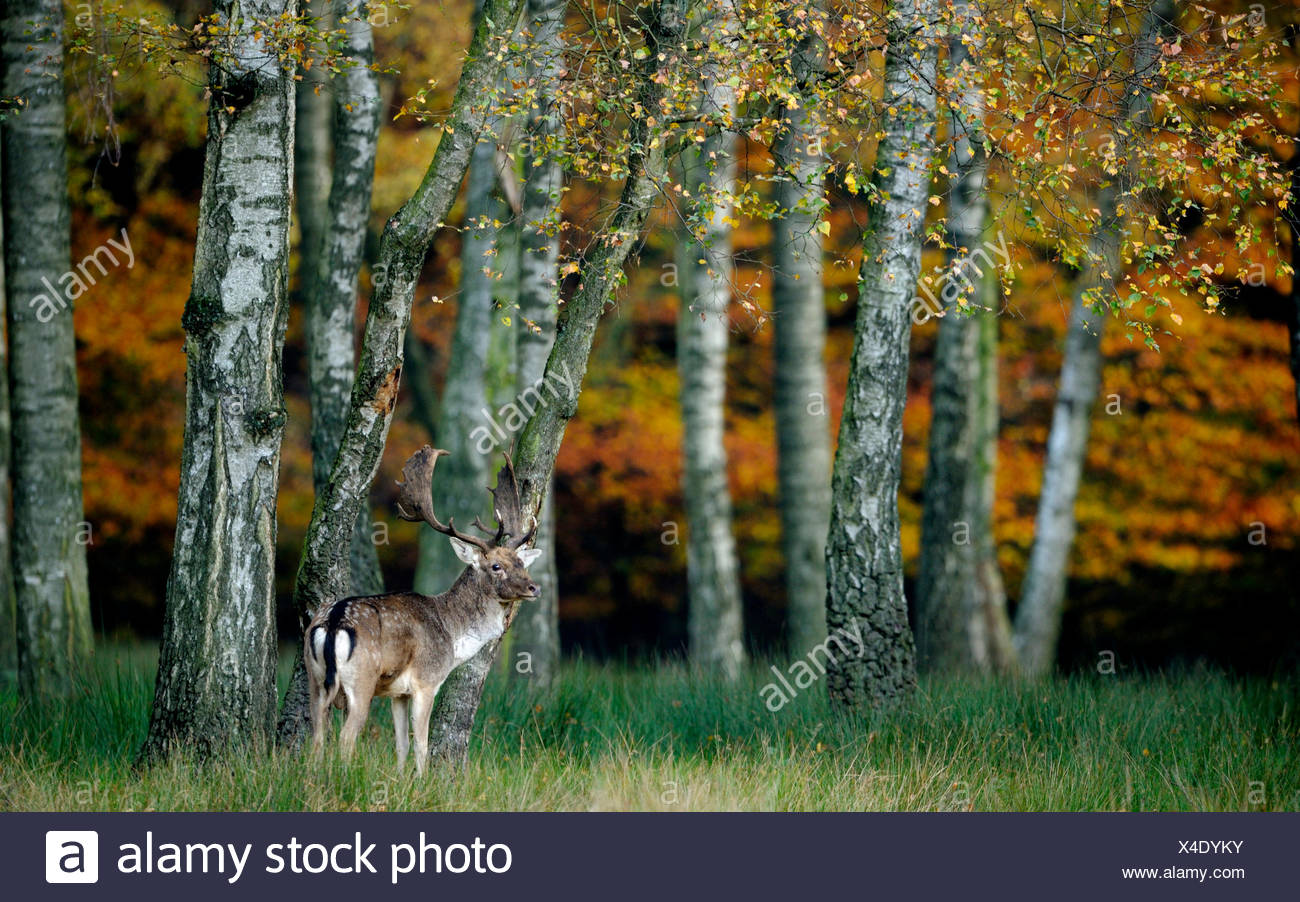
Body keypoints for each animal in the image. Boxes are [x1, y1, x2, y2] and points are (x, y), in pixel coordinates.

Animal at [305, 445, 542, 775]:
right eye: (496, 566)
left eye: (520, 562)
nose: (534, 588)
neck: (451, 635)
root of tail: (333, 621)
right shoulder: (426, 681)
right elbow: (421, 744)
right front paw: (421, 780)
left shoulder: (398, 693)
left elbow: (401, 744)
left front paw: (401, 779)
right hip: (361, 679)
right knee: (346, 738)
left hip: (313, 678)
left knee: (316, 738)